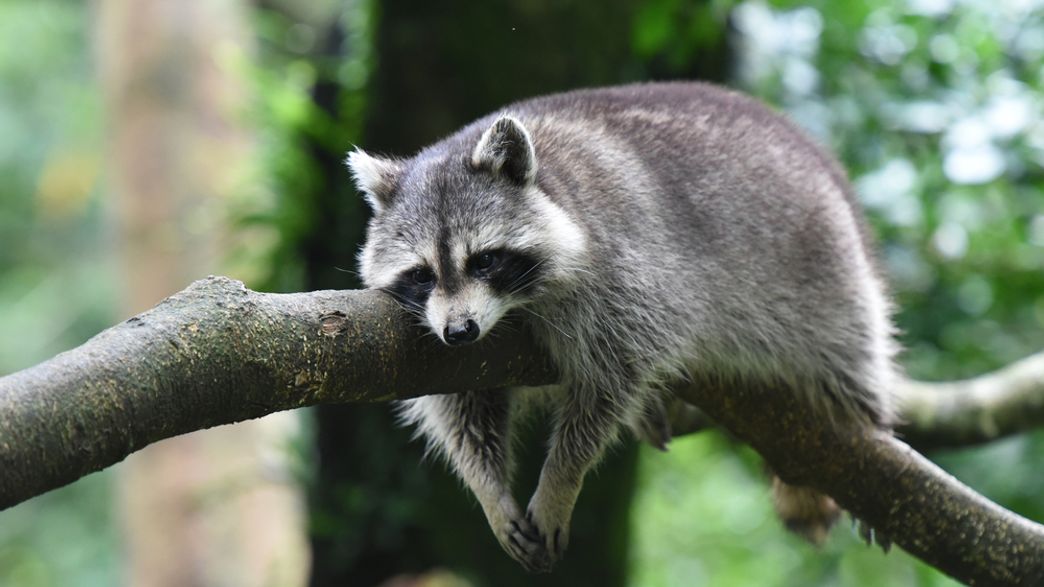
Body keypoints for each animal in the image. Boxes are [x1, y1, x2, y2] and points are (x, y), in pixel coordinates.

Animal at [348, 82, 898, 572]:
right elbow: (461, 411)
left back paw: (868, 420)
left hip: (828, 273)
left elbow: (611, 381)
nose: (460, 332)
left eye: (484, 260)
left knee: (849, 355)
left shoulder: (625, 275)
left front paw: (562, 477)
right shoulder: (452, 349)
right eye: (422, 274)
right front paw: (489, 489)